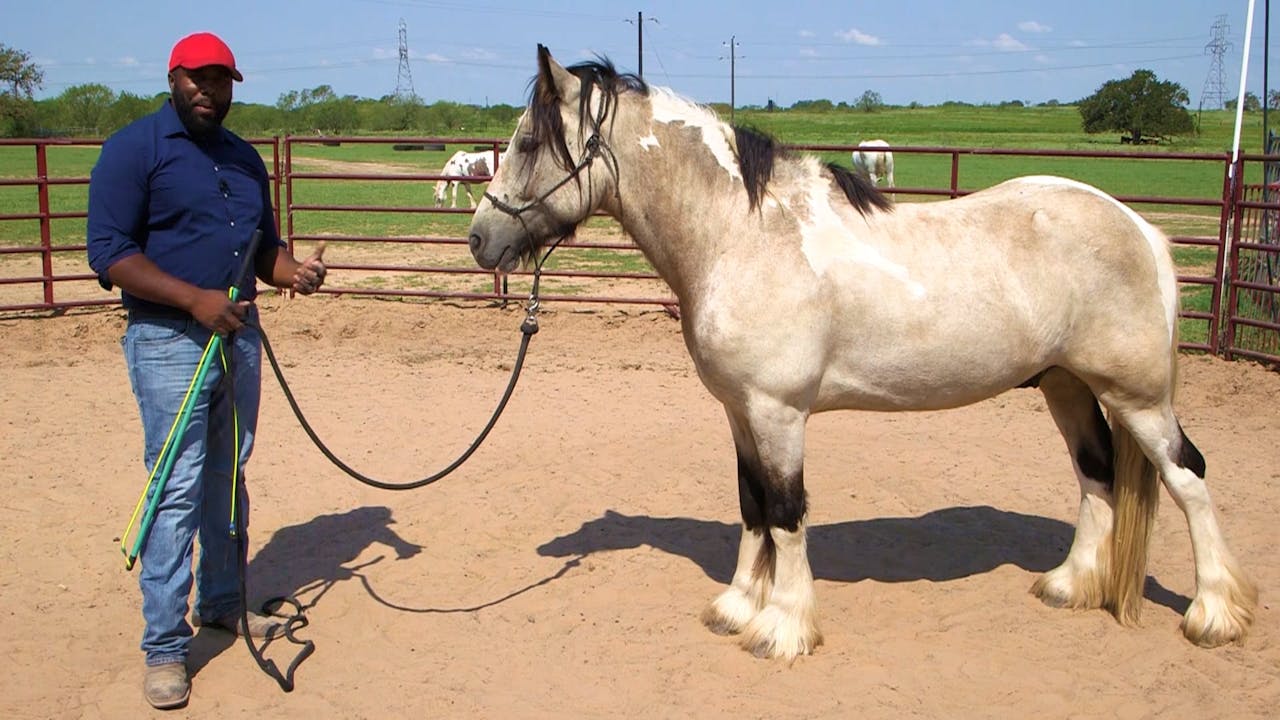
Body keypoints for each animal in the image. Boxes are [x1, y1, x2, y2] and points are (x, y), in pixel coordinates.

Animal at [466, 46, 1257, 660]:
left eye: (529, 144)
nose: (479, 239)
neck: (746, 235)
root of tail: (1140, 229)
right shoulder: (739, 413)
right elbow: (752, 506)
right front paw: (737, 607)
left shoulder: (780, 414)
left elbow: (787, 513)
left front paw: (783, 629)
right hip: (1065, 384)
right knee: (1096, 473)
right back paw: (1067, 585)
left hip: (1138, 397)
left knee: (1189, 477)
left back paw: (1214, 614)